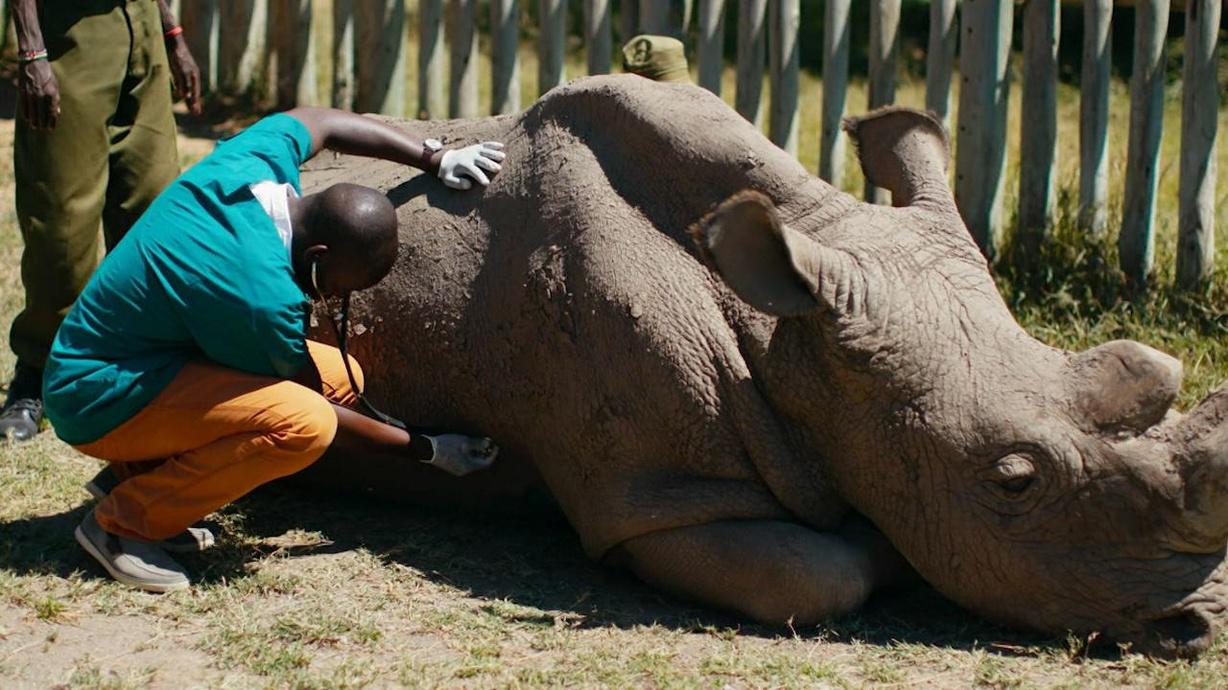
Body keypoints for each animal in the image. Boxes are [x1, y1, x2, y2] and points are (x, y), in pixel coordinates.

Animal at [298, 75, 1228, 657]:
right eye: (1013, 480)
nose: (1199, 627)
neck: (787, 332)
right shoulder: (660, 498)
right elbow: (818, 575)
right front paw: (871, 542)